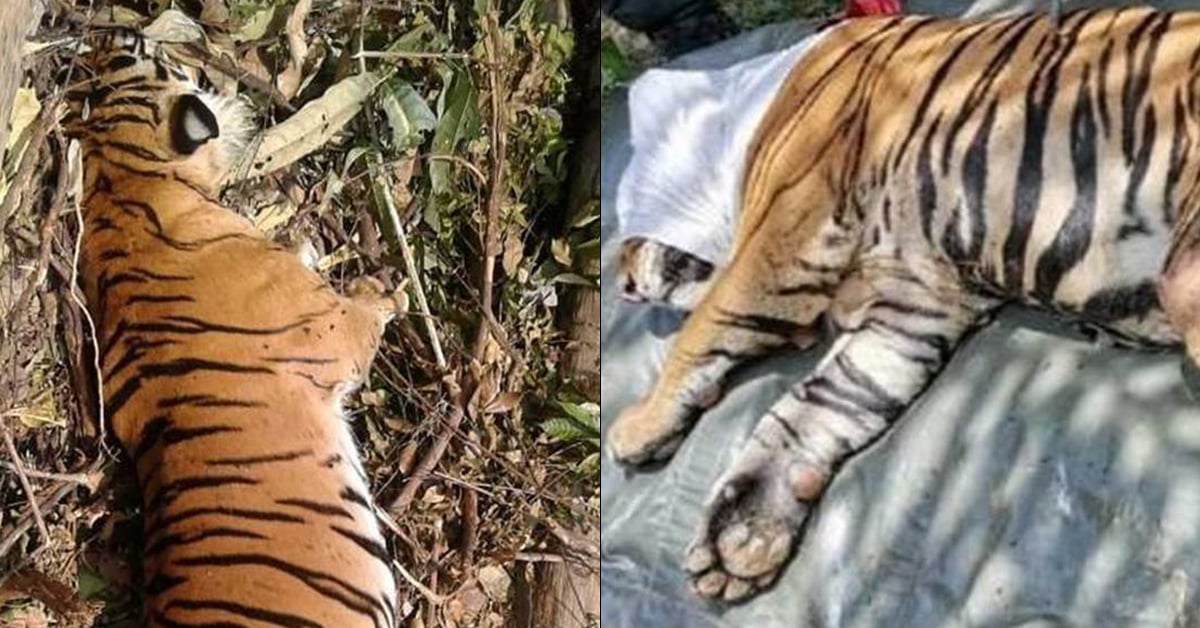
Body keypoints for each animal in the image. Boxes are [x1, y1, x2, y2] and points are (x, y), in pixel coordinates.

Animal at [67, 32, 401, 625]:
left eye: (117, 60)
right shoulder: (328, 332)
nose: (121, 32)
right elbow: (362, 314)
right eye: (143, 57)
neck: (124, 181)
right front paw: (387, 291)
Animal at [607, 8, 1200, 603]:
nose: (619, 277)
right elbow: (820, 404)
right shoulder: (911, 305)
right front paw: (740, 534)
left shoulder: (788, 223)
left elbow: (706, 327)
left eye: (630, 239)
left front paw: (635, 427)